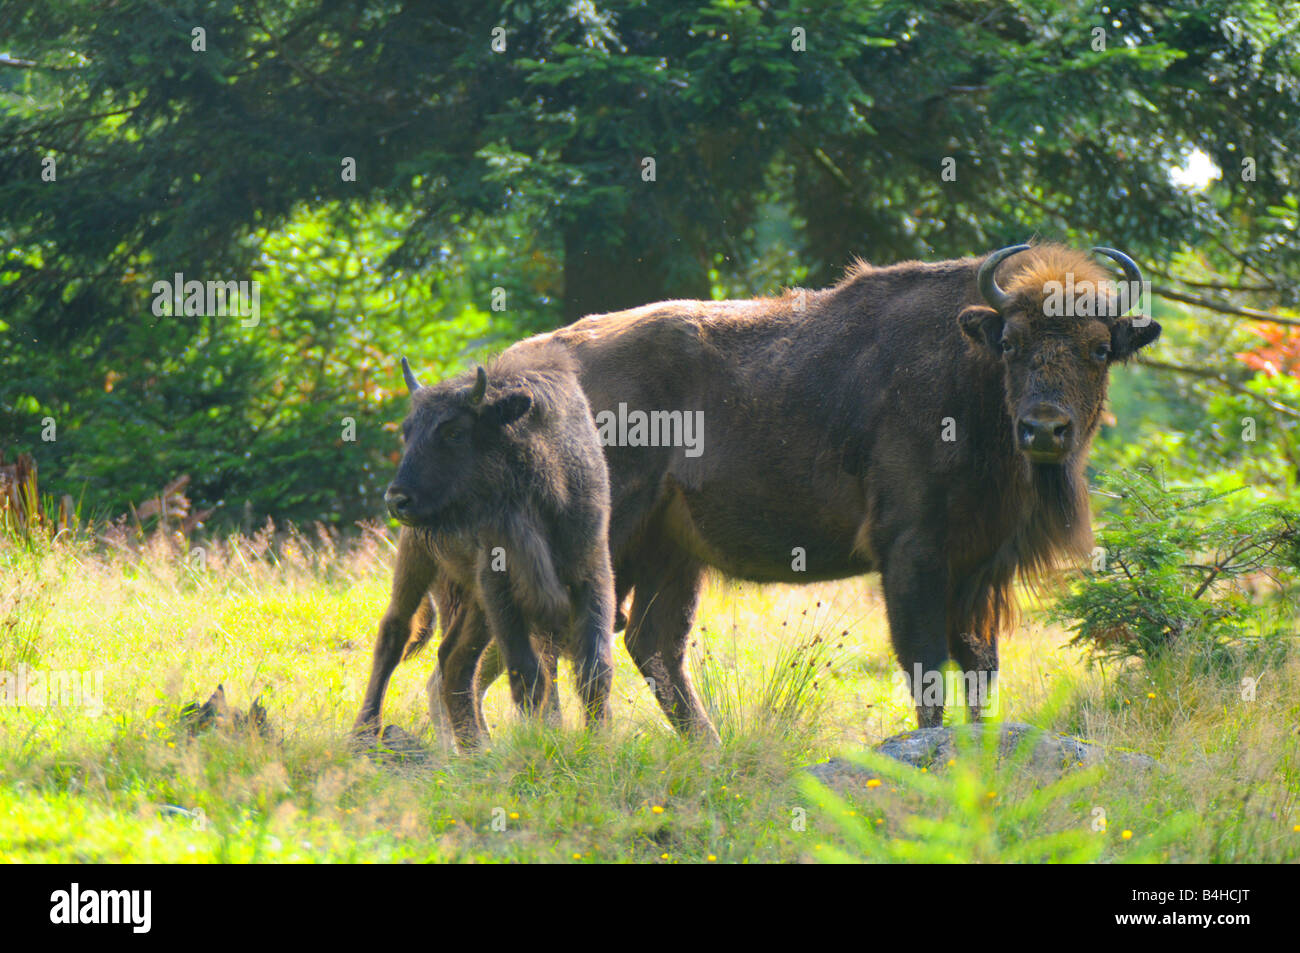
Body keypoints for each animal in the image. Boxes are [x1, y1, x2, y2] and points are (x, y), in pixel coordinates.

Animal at [353, 344, 616, 751]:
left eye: (455, 431)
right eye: (407, 431)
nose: (396, 500)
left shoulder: (592, 573)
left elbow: (595, 668)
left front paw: (599, 741)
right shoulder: (500, 585)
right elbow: (526, 672)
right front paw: (535, 738)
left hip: (472, 601)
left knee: (453, 658)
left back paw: (473, 745)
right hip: (417, 561)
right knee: (394, 632)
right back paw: (365, 731)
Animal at [377, 242, 1160, 739]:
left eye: (1099, 347)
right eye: (1012, 344)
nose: (1045, 428)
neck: (969, 374)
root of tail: (511, 371)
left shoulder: (978, 568)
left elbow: (978, 667)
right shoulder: (912, 554)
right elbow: (926, 665)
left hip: (668, 552)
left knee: (646, 649)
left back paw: (707, 751)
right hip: (582, 555)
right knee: (473, 662)